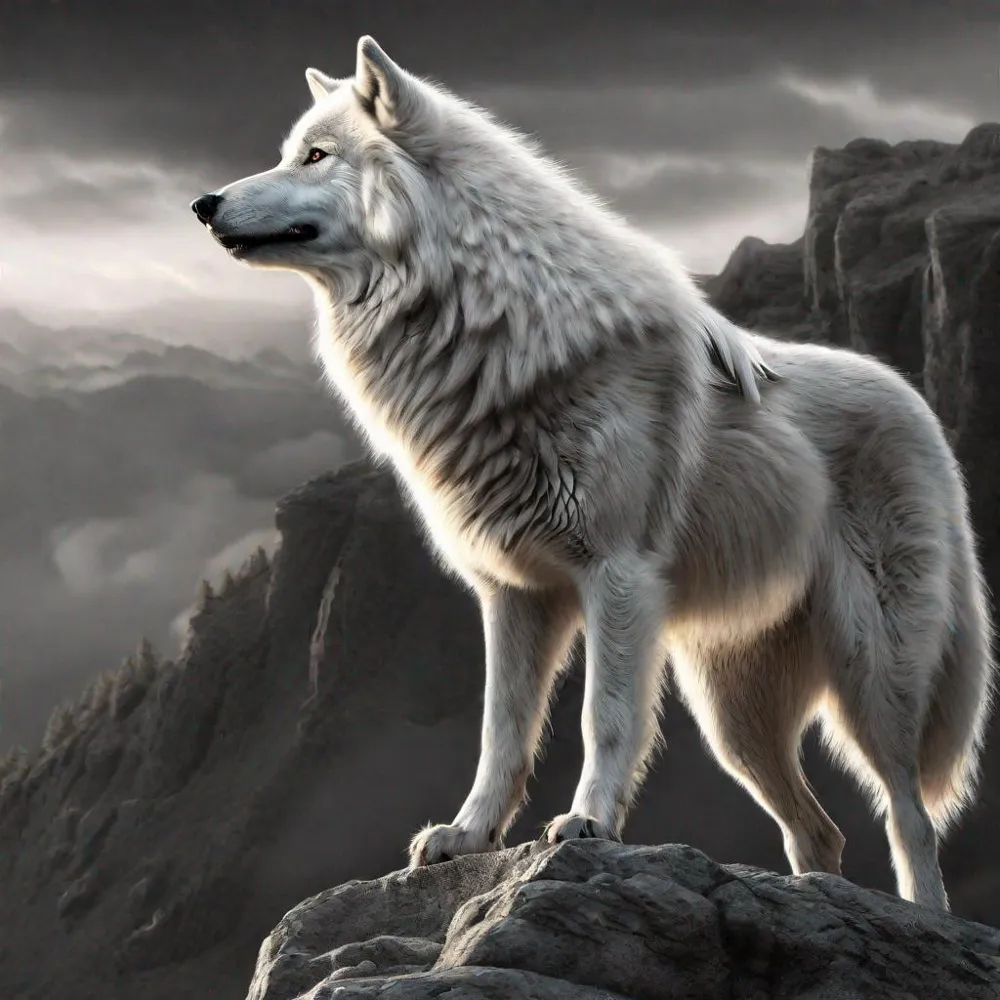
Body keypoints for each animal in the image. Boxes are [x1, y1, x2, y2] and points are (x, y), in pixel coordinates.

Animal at [192, 36, 995, 911]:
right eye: (288, 152)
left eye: (315, 155)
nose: (204, 203)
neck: (487, 329)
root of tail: (920, 410)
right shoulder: (512, 592)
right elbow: (502, 732)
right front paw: (468, 836)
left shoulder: (615, 575)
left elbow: (602, 717)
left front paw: (588, 824)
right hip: (733, 713)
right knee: (821, 832)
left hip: (871, 670)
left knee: (909, 814)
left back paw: (925, 915)